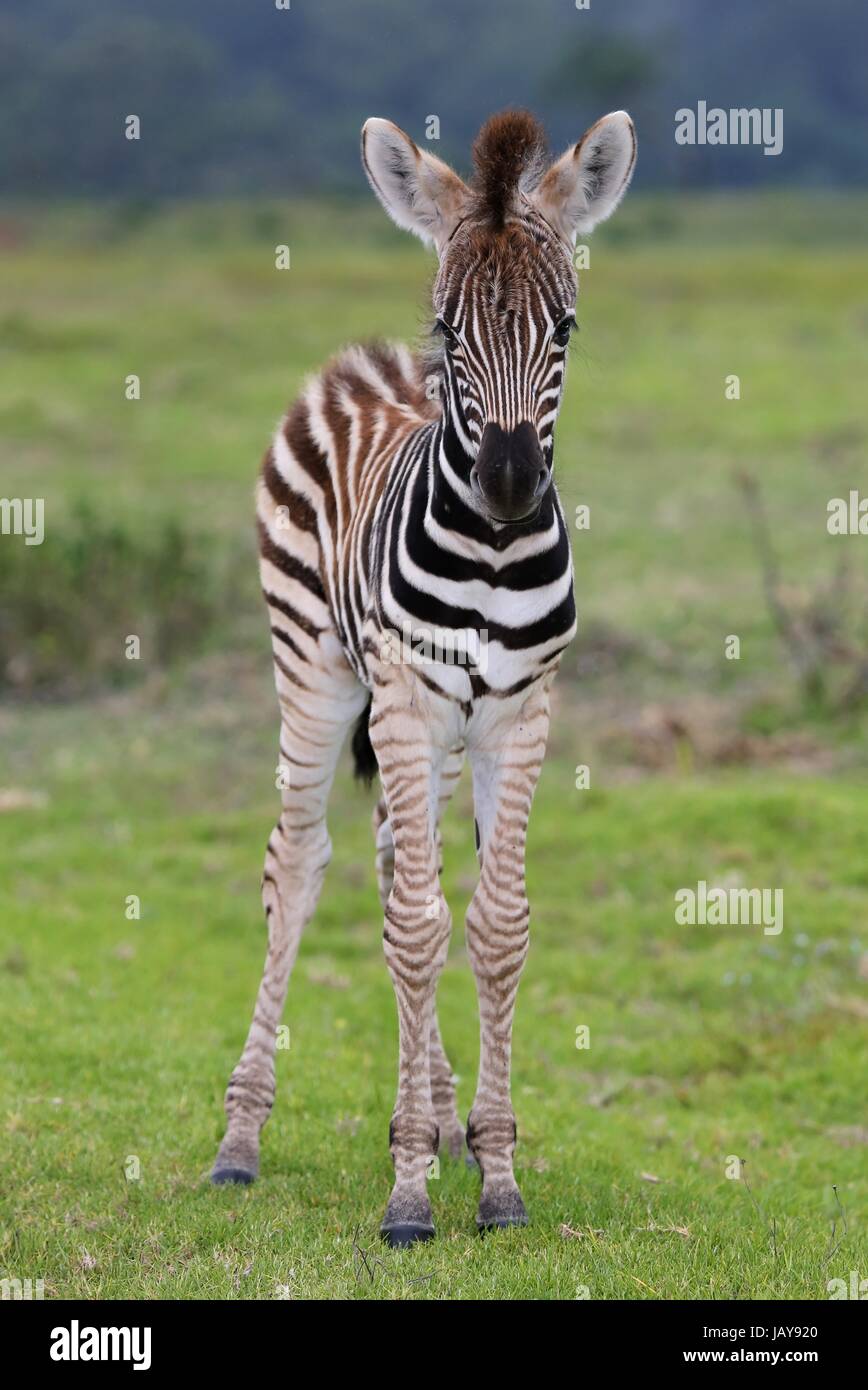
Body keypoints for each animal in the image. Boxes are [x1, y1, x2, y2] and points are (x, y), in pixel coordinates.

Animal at [211, 108, 636, 1247]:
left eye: (566, 329)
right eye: (450, 333)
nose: (508, 482)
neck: (489, 553)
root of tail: (364, 364)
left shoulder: (520, 713)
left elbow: (491, 926)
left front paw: (494, 1172)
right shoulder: (403, 698)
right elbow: (412, 929)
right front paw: (407, 1192)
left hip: (434, 737)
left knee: (398, 857)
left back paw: (444, 1121)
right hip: (315, 671)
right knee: (298, 863)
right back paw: (240, 1141)